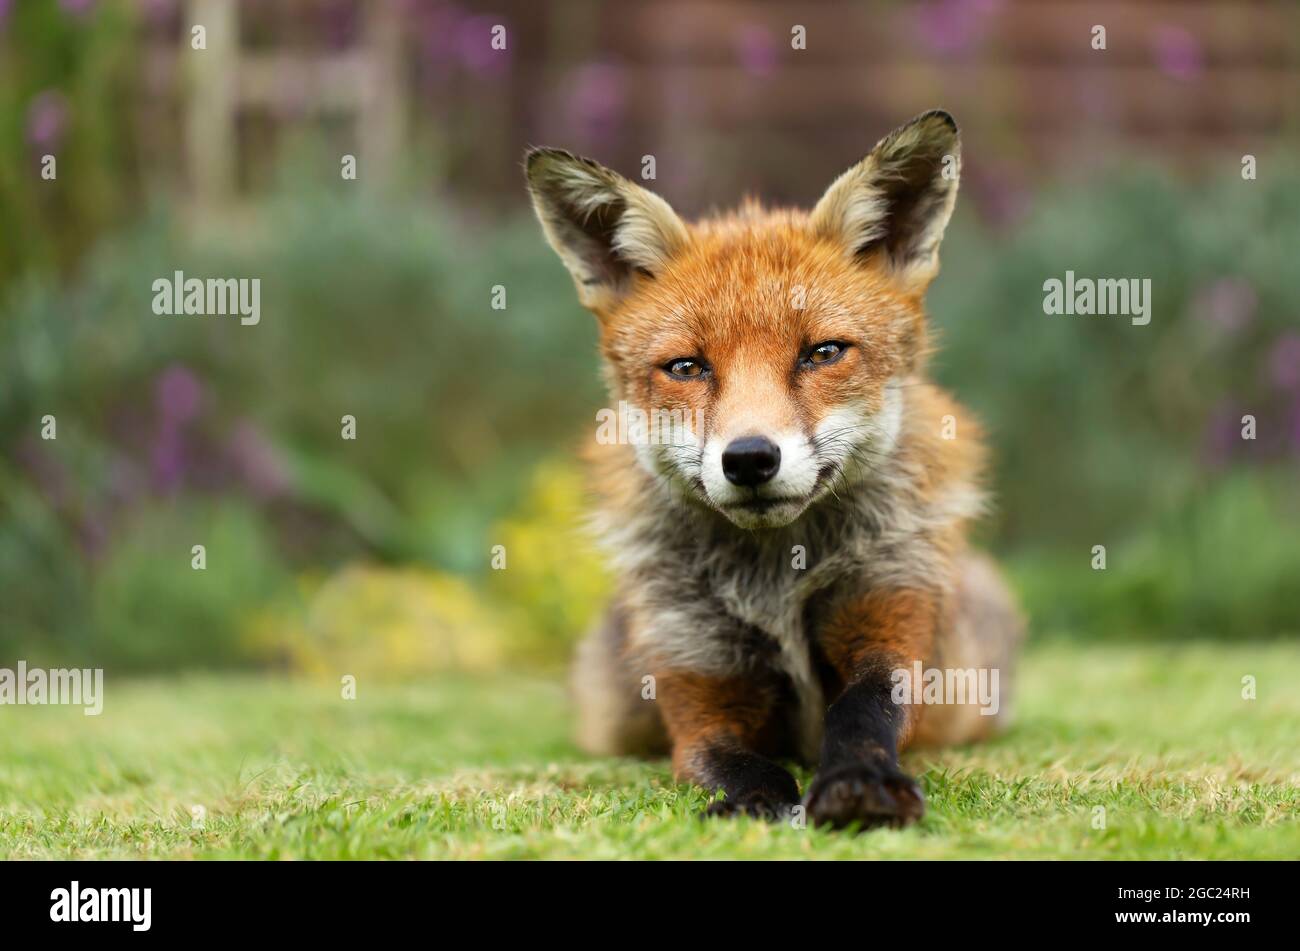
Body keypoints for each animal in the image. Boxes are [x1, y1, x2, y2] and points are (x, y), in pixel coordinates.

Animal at [525, 110, 1024, 829]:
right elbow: (729, 758)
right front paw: (756, 802)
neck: (776, 580)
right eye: (686, 367)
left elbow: (863, 714)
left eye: (823, 352)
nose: (750, 458)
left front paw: (860, 783)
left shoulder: (889, 618)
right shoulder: (698, 681)